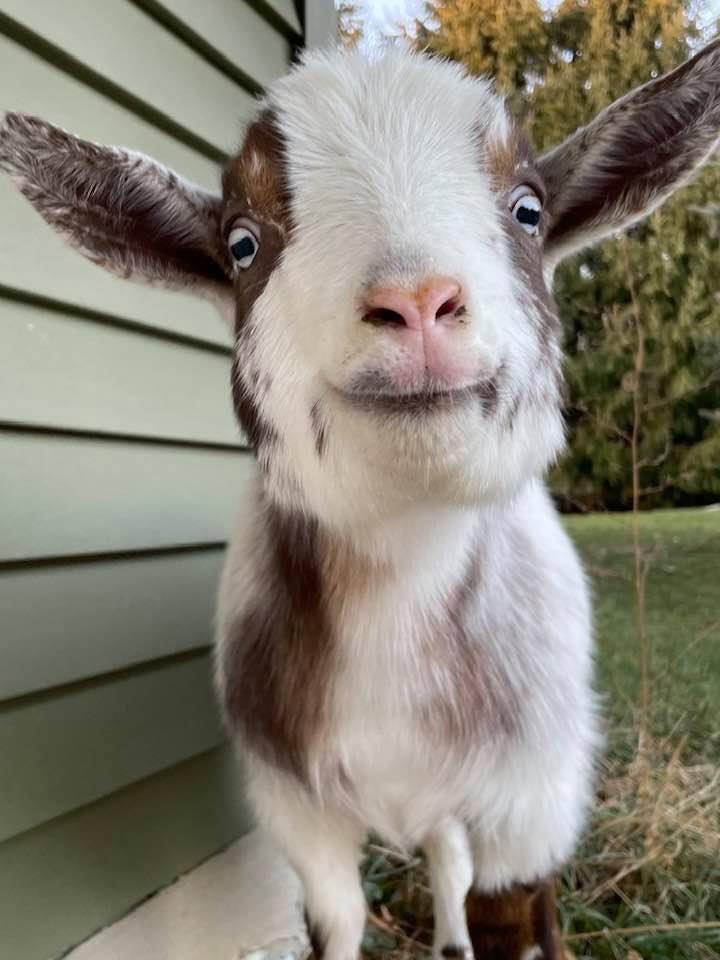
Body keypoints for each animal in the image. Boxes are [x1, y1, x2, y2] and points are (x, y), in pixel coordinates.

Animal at [2, 38, 719, 960]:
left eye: (528, 209)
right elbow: (336, 921)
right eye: (243, 244)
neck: (401, 571)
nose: (415, 303)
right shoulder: (296, 810)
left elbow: (511, 915)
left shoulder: (531, 804)